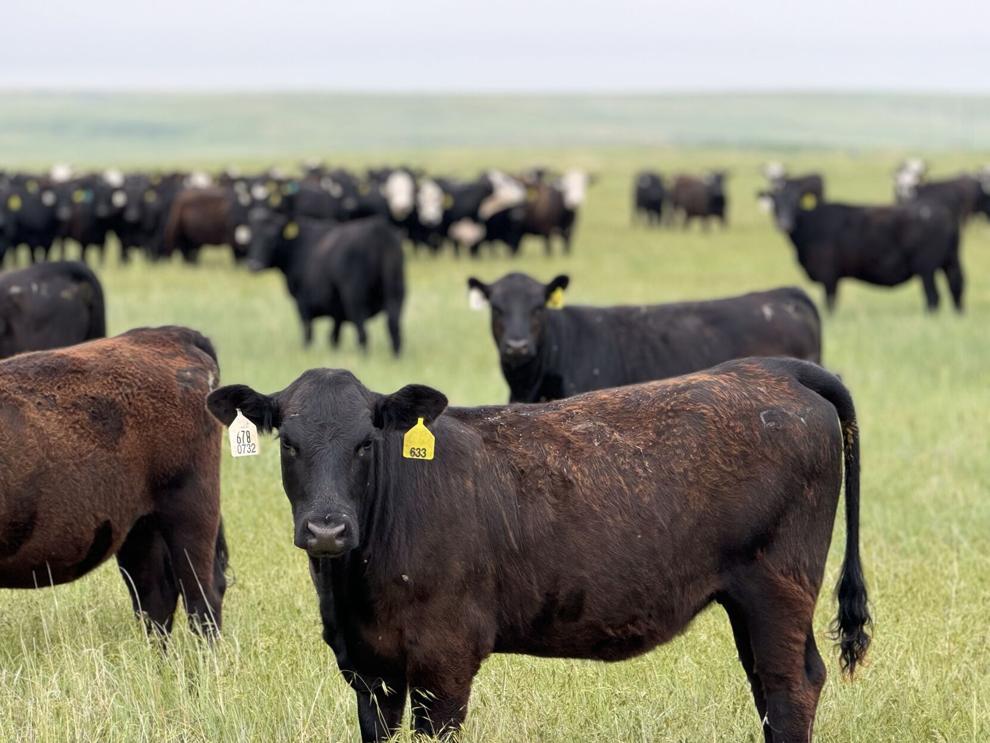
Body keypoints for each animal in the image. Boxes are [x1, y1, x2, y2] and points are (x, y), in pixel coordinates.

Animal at [206, 357, 870, 742]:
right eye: (289, 443)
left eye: (366, 442)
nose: (327, 529)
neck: (356, 588)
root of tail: (774, 369)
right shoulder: (368, 672)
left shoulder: (445, 664)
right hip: (748, 599)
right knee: (775, 685)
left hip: (778, 585)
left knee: (789, 687)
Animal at [246, 210, 405, 354]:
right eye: (253, 237)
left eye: (272, 238)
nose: (254, 265)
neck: (297, 247)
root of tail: (379, 230)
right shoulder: (337, 311)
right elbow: (334, 337)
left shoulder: (302, 303)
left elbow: (308, 334)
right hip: (396, 292)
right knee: (394, 329)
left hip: (355, 299)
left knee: (363, 335)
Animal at [766, 181, 963, 312]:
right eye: (775, 203)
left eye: (795, 202)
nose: (784, 224)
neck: (810, 225)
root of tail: (943, 212)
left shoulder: (829, 276)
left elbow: (830, 304)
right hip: (950, 261)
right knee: (956, 286)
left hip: (926, 268)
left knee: (933, 297)